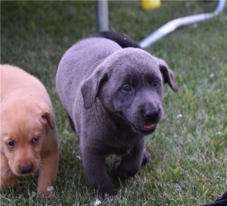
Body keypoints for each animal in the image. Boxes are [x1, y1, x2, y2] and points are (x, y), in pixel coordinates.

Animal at [0, 64, 58, 196]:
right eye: (10, 143)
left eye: (35, 140)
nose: (26, 169)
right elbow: (3, 166)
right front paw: (10, 185)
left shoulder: (50, 148)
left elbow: (47, 175)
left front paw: (44, 195)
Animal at [55, 31, 178, 197]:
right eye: (126, 88)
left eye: (156, 83)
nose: (152, 113)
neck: (119, 125)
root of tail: (89, 38)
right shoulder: (90, 150)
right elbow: (98, 177)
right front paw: (108, 195)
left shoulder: (138, 142)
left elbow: (132, 165)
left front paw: (118, 170)